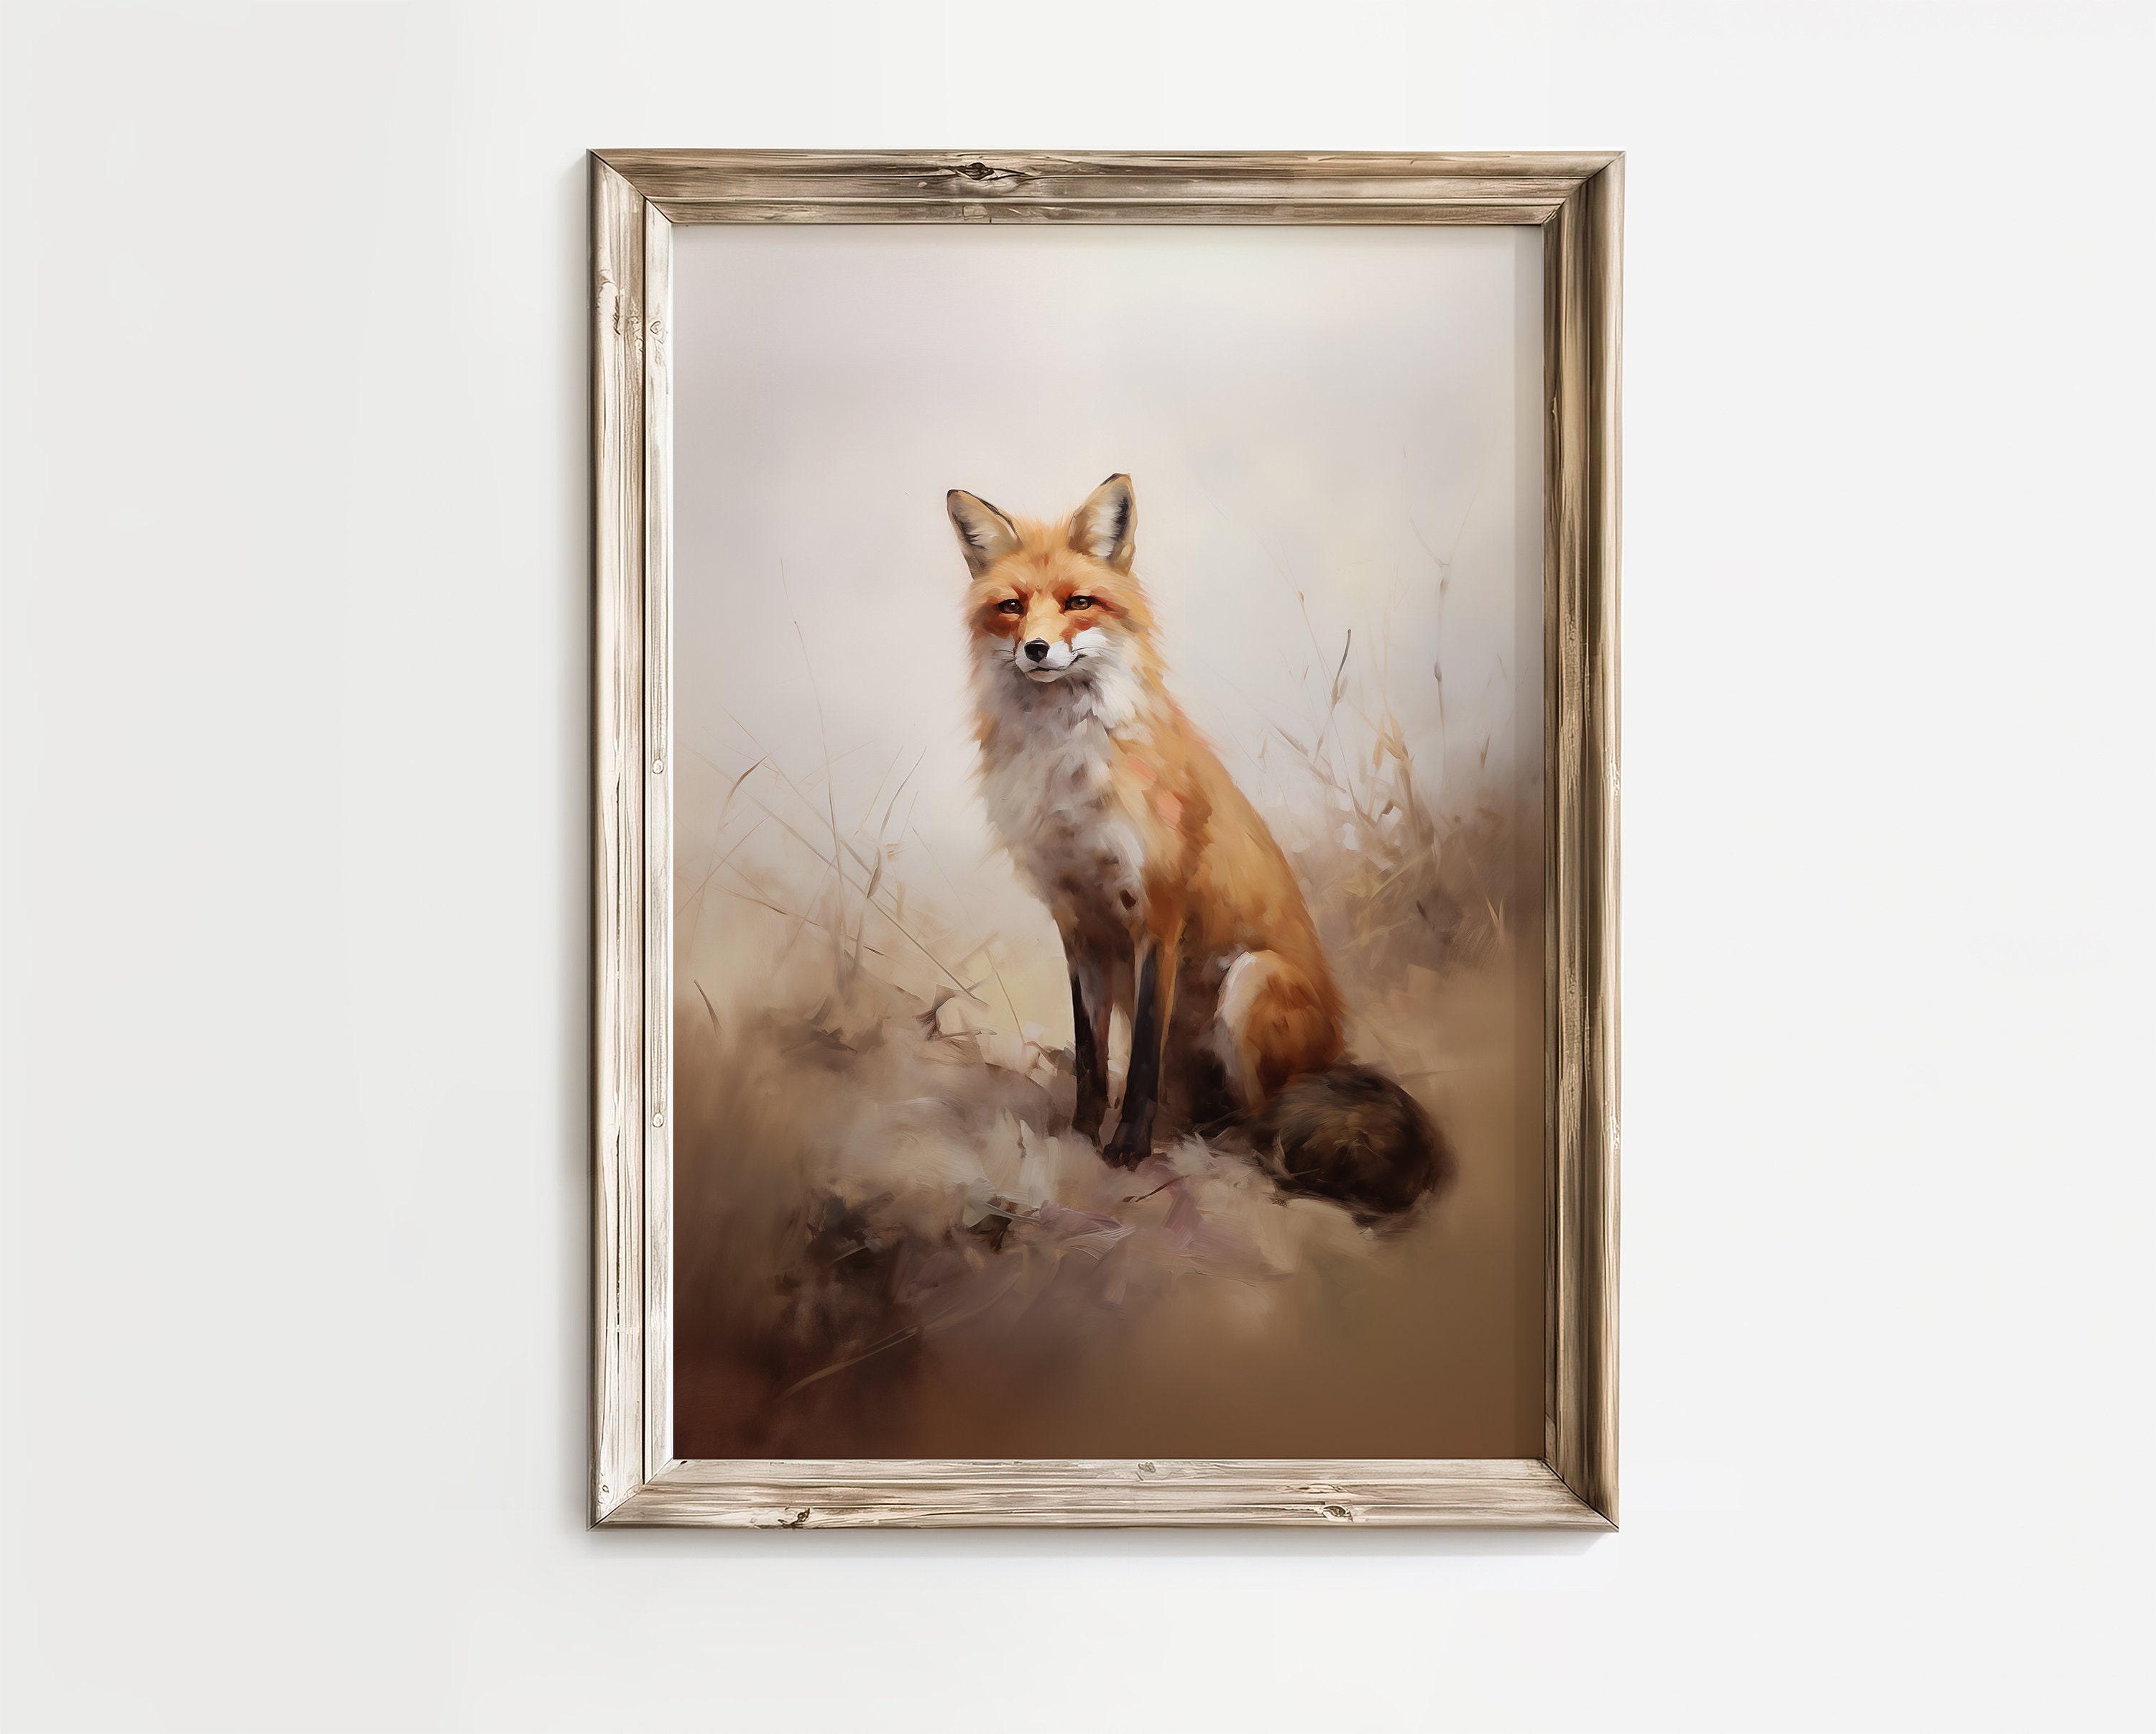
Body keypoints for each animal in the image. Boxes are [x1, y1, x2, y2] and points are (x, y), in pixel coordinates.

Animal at [949, 474, 1453, 1223]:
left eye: (1077, 603)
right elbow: (1093, 1056)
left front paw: (1127, 1147)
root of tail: (1332, 1057)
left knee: (1263, 1118)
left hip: (1250, 982)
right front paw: (1079, 1134)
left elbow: (1140, 1062)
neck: (1067, 770)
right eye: (1011, 608)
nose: (1036, 649)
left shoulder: (1156, 913)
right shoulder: (1077, 921)